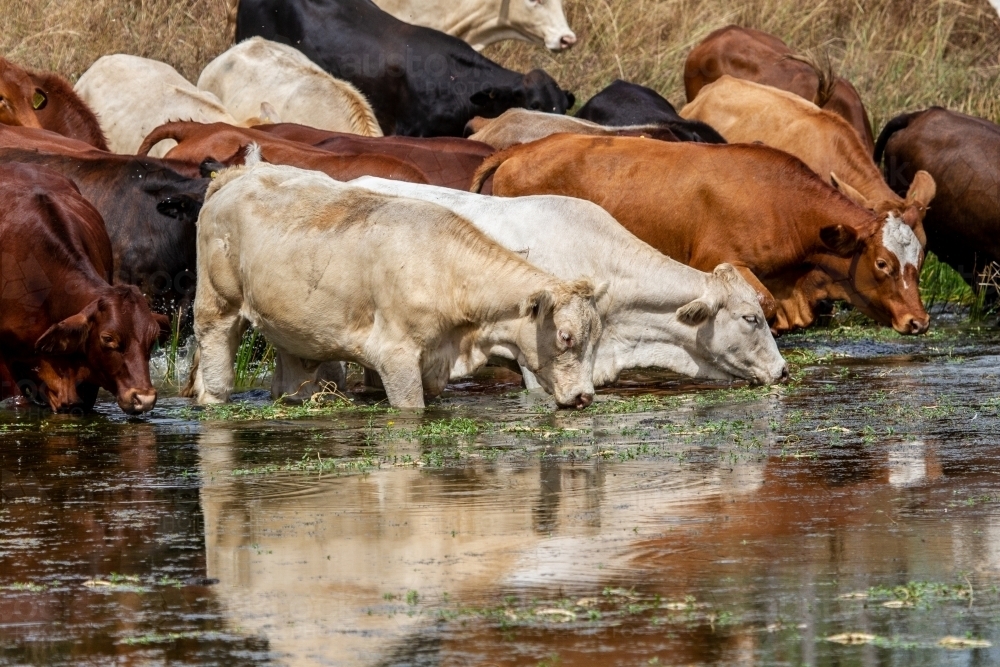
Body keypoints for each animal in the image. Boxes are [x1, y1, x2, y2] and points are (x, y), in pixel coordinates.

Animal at [190, 154, 601, 409]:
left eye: (596, 336)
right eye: (566, 336)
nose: (585, 396)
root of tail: (240, 174)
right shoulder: (394, 356)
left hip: (293, 330)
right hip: (218, 306)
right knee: (216, 369)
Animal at [471, 135, 930, 335]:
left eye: (920, 259)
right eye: (882, 263)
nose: (919, 321)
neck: (784, 205)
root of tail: (523, 148)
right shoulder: (716, 260)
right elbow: (760, 302)